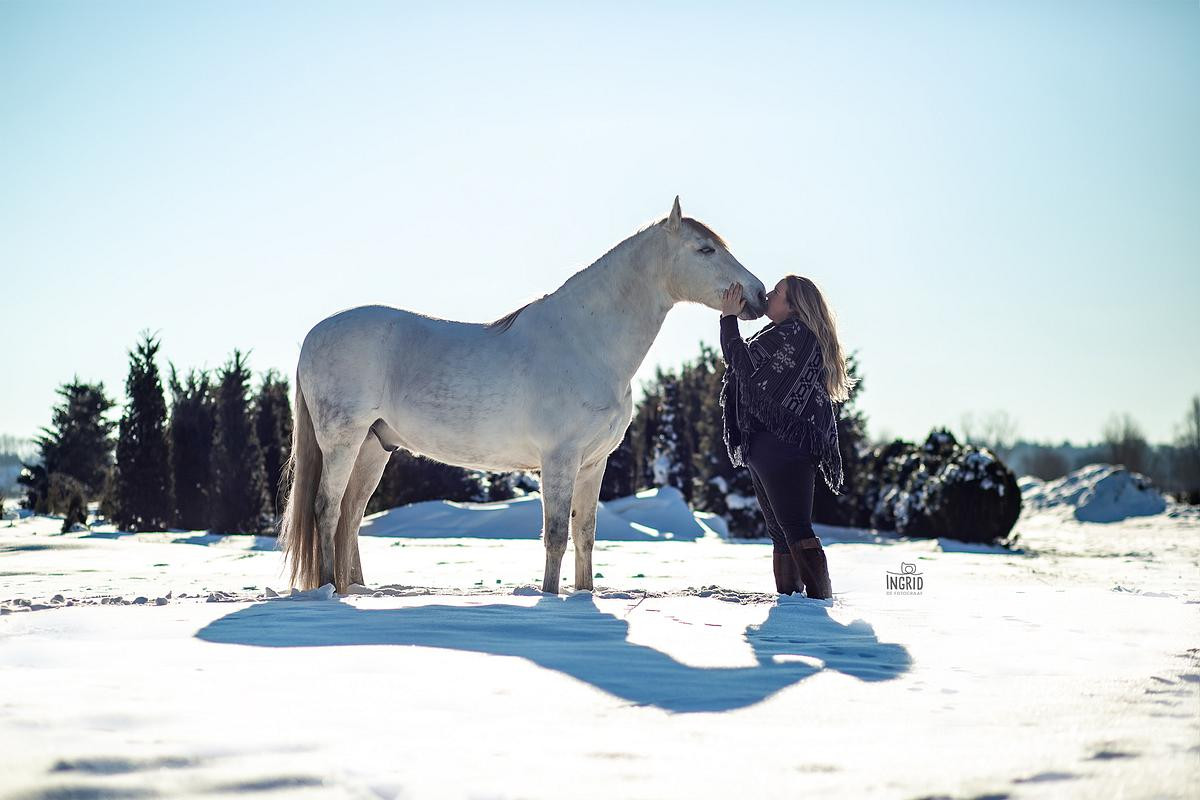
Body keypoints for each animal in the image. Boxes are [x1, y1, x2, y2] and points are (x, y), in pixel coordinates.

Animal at [278, 197, 768, 594]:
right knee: (327, 510)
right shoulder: (559, 459)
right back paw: (330, 591)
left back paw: (356, 590)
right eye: (705, 250)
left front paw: (584, 597)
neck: (585, 342)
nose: (759, 294)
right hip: (342, 443)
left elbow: (585, 535)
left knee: (349, 518)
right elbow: (555, 536)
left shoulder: (593, 463)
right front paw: (551, 600)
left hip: (374, 446)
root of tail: (313, 336)